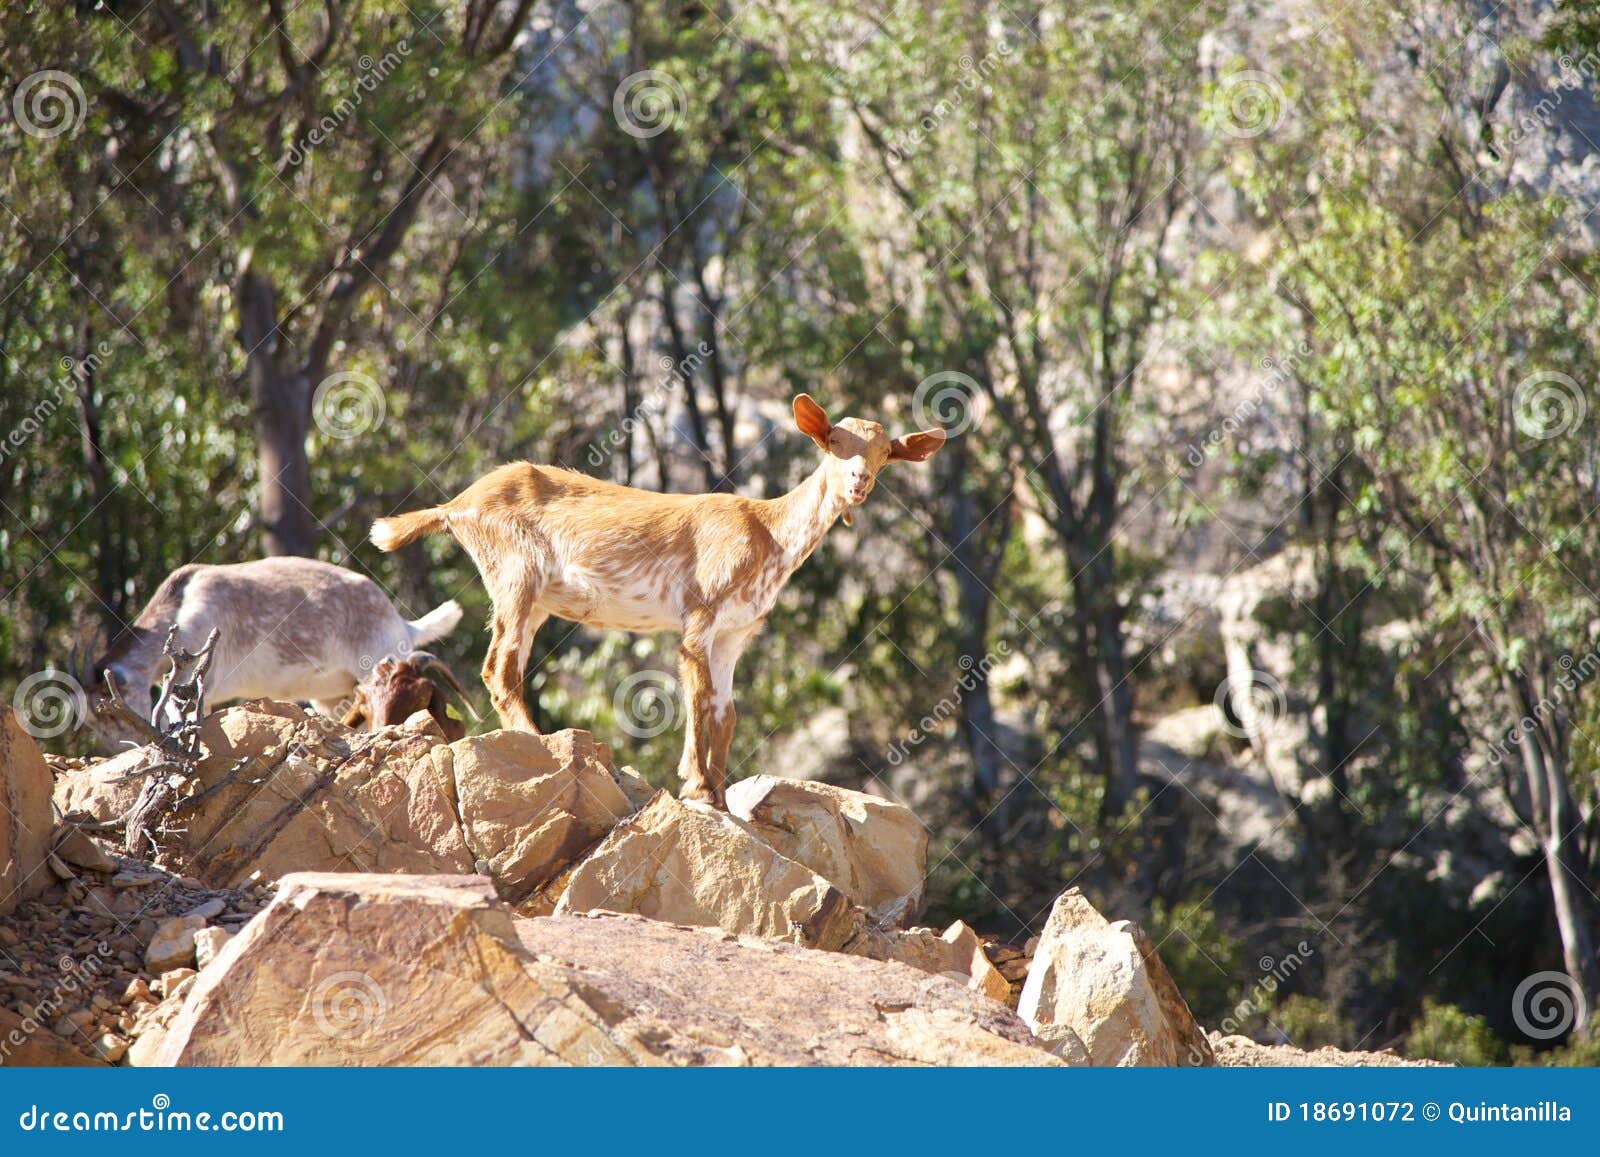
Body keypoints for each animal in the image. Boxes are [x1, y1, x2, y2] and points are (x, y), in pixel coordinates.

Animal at [76, 557, 464, 750]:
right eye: (93, 722)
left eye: (115, 713)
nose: (126, 749)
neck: (182, 608)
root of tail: (403, 623)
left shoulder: (198, 685)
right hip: (333, 697)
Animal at [370, 393, 944, 807]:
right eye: (833, 441)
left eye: (885, 452)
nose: (859, 482)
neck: (767, 534)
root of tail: (453, 506)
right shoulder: (699, 612)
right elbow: (697, 695)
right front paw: (698, 785)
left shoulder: (736, 632)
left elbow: (726, 711)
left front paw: (720, 796)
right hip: (515, 573)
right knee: (499, 666)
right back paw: (542, 742)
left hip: (533, 598)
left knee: (501, 665)